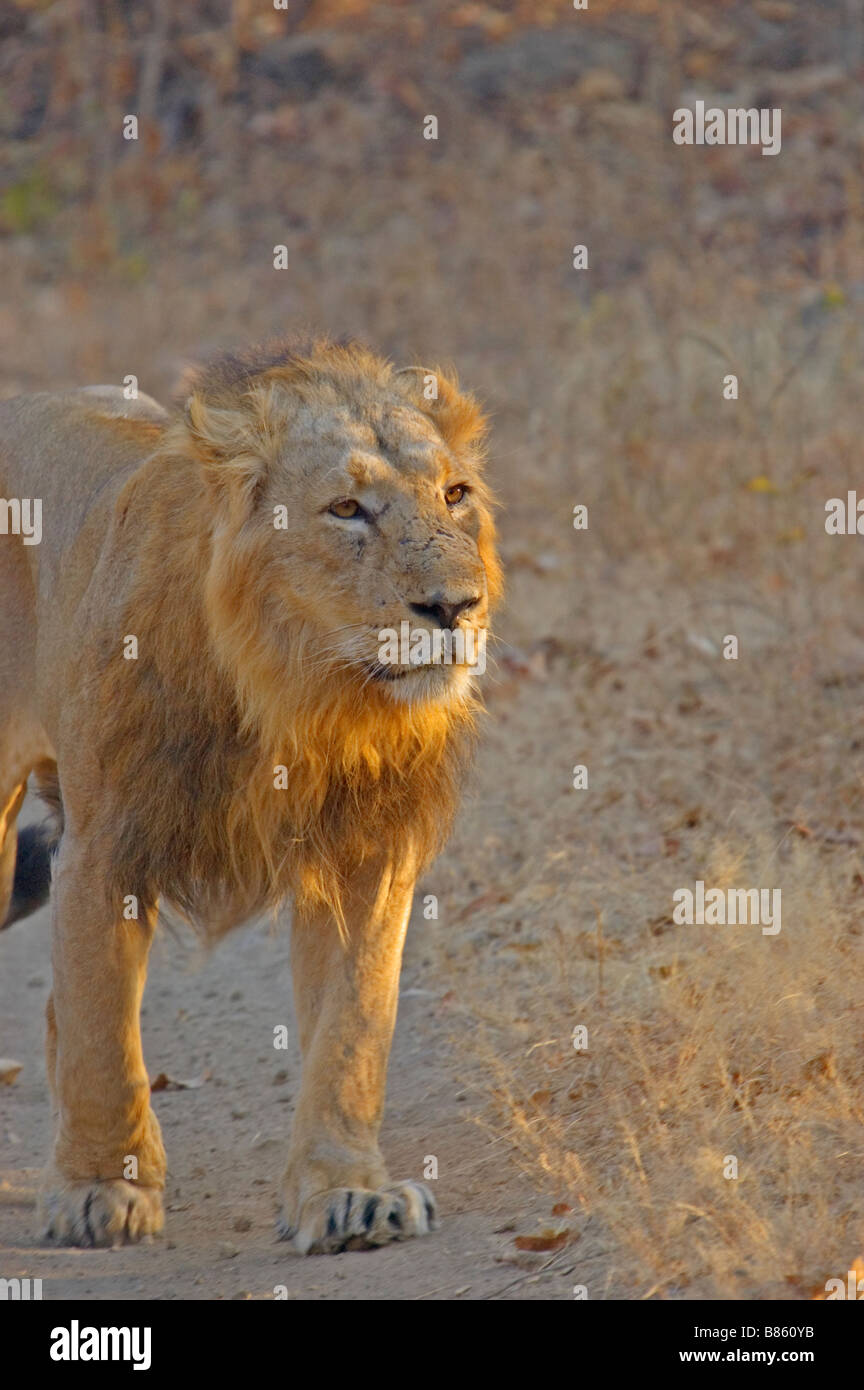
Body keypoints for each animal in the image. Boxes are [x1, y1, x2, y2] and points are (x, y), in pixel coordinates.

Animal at [0, 338, 501, 1253]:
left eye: (455, 493)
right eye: (346, 509)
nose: (456, 606)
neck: (300, 693)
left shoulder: (366, 853)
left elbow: (353, 1030)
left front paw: (348, 1194)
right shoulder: (105, 843)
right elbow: (102, 1028)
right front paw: (100, 1189)